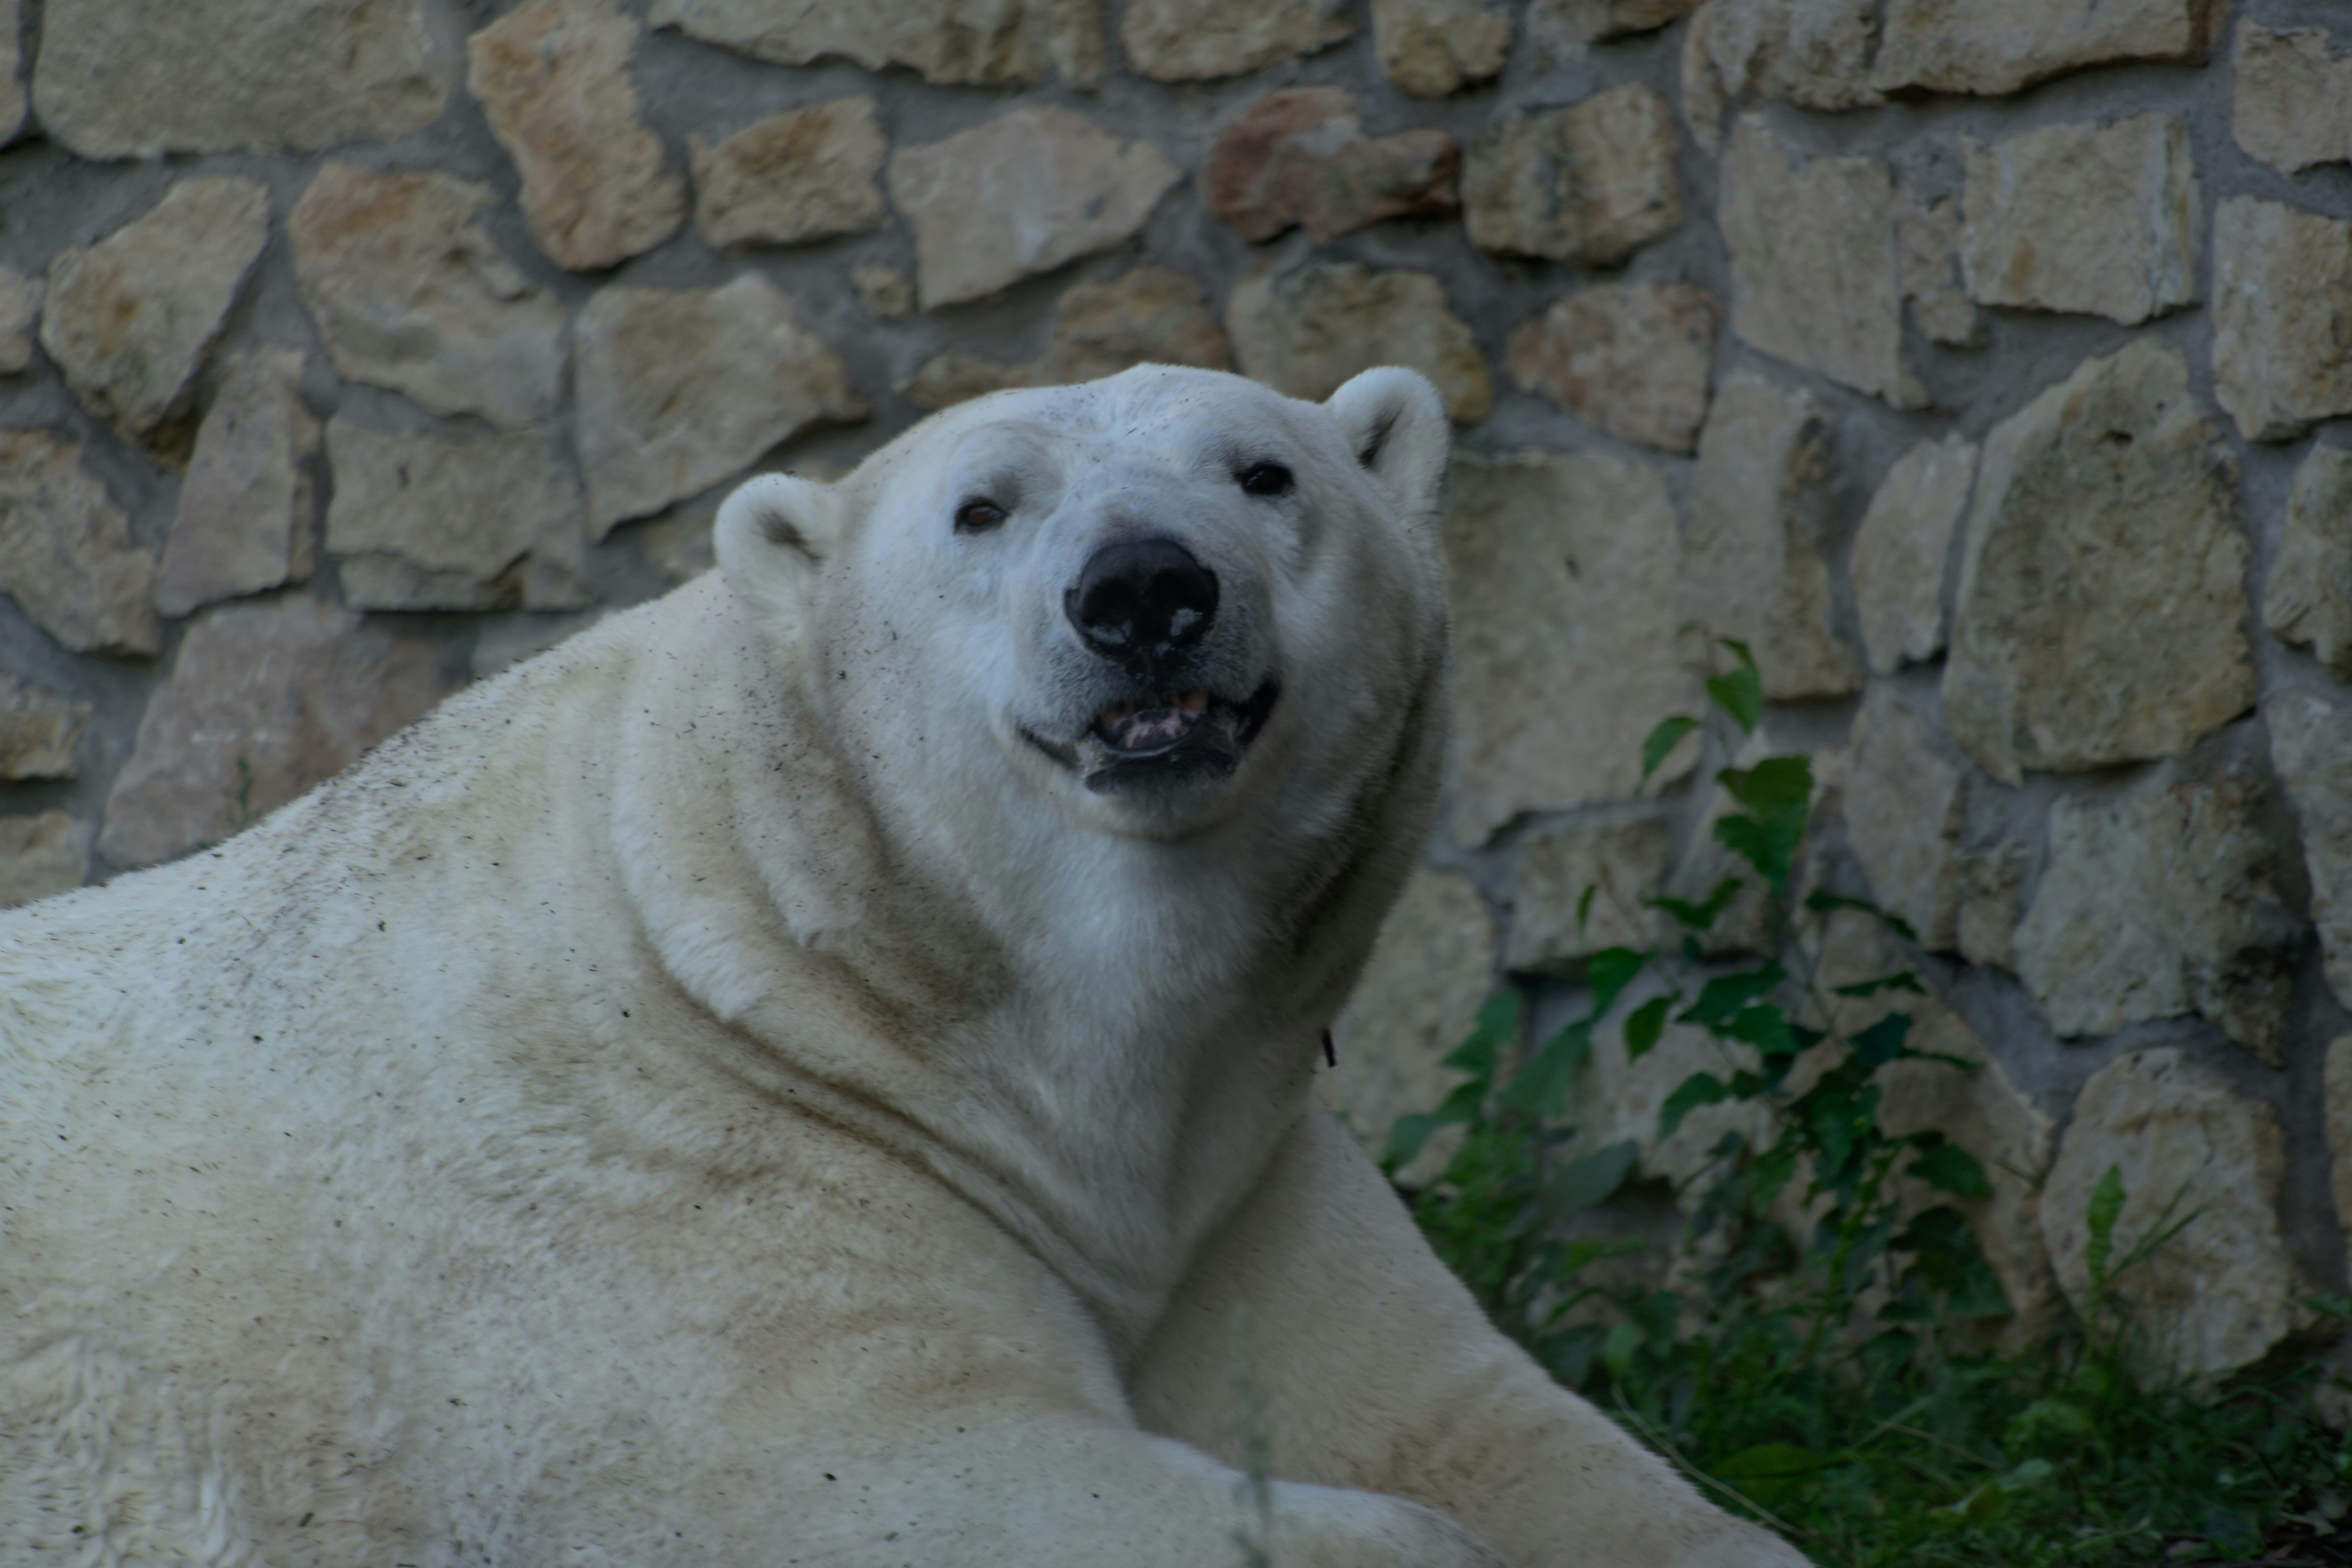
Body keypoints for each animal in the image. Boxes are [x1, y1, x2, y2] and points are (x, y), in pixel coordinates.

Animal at [0, 365, 1806, 1568]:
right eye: (982, 506)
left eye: (1264, 472)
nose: (1144, 589)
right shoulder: (678, 1201)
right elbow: (898, 1468)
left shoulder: (1241, 1177)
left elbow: (1486, 1426)